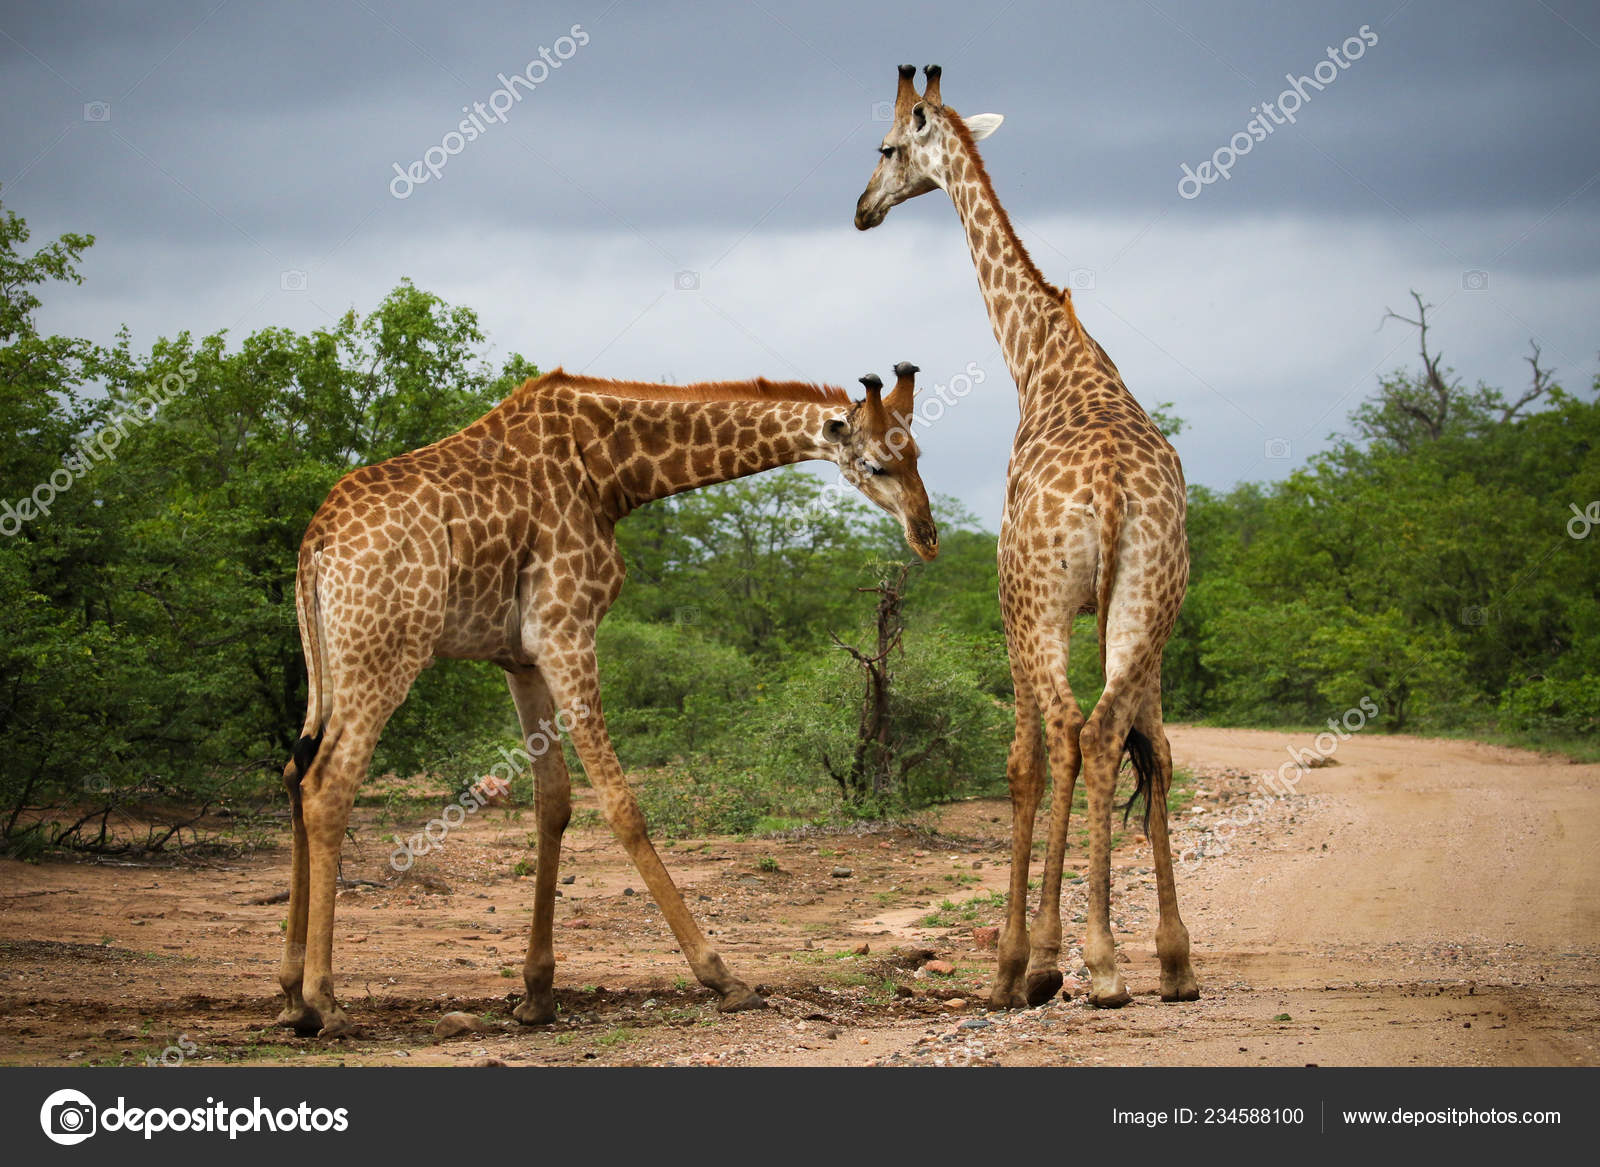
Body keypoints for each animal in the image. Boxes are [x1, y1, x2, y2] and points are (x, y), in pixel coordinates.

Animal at [276, 364, 938, 1037]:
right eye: (877, 464)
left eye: (917, 453)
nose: (927, 538)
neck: (611, 470)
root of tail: (316, 545)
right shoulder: (566, 629)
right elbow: (622, 807)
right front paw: (723, 978)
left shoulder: (521, 656)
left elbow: (554, 802)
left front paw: (537, 994)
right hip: (385, 654)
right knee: (327, 785)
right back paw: (327, 1003)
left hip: (328, 666)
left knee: (293, 771)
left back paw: (292, 995)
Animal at [854, 64, 1199, 1011]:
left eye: (887, 147)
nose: (862, 208)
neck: (1038, 353)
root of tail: (1114, 492)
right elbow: (1147, 749)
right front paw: (1148, 956)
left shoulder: (1016, 602)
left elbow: (1024, 759)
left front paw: (1023, 962)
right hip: (1150, 598)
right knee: (1127, 735)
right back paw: (1162, 961)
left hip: (1040, 603)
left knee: (1074, 730)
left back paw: (1090, 962)